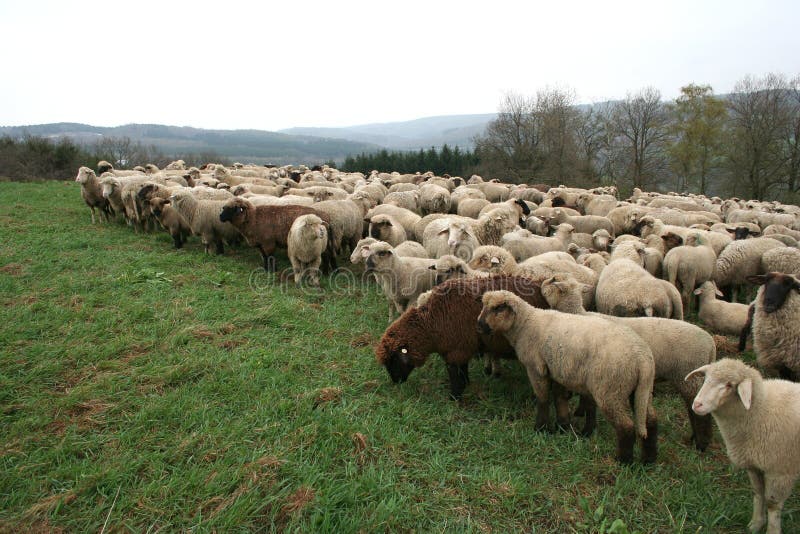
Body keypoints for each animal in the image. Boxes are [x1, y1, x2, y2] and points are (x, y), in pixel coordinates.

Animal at [375, 275, 548, 400]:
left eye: (394, 359)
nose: (396, 381)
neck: (431, 323)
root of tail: (539, 283)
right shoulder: (462, 348)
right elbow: (463, 370)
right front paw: (466, 385)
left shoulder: (455, 351)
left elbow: (454, 374)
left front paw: (454, 397)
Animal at [477, 290, 658, 463]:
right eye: (484, 305)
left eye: (497, 308)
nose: (479, 326)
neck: (525, 324)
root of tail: (642, 359)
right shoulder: (558, 370)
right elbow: (559, 397)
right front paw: (562, 426)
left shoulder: (536, 368)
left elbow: (542, 398)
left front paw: (541, 428)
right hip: (642, 390)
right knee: (651, 420)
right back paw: (648, 460)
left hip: (610, 390)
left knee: (625, 427)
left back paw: (623, 461)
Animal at [541, 273, 716, 451]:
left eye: (553, 280)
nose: (542, 283)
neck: (579, 313)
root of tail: (711, 344)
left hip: (686, 376)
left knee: (696, 410)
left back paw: (701, 444)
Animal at [687, 358, 800, 534]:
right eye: (705, 378)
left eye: (729, 385)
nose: (697, 404)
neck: (762, 411)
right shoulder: (754, 465)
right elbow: (758, 493)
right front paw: (755, 524)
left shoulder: (781, 471)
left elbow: (772, 504)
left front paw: (772, 530)